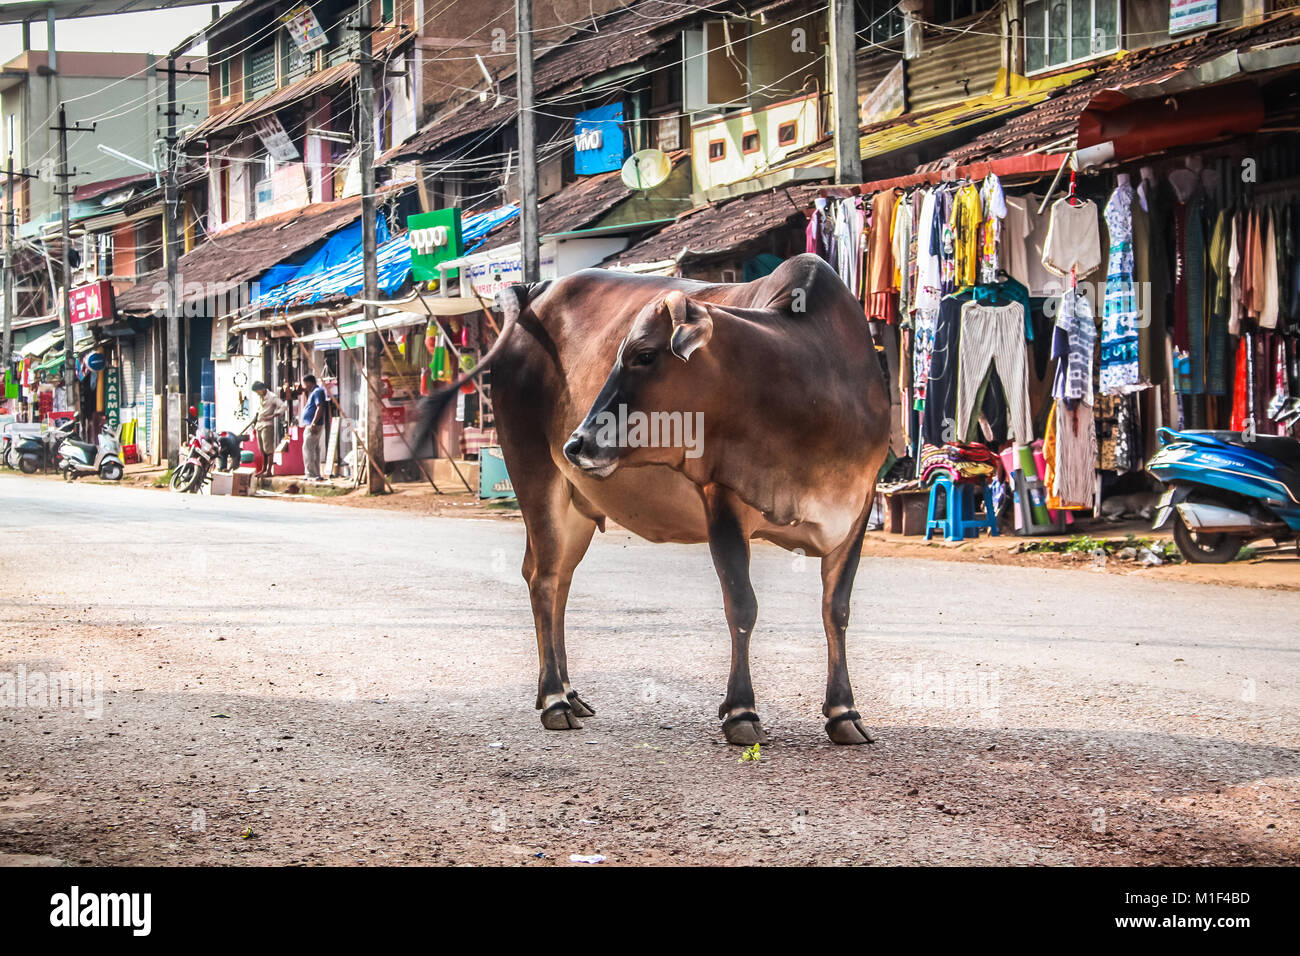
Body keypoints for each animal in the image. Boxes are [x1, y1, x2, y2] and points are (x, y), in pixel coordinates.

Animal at [417, 253, 891, 745]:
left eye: (644, 355)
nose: (577, 443)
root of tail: (537, 290)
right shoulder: (720, 500)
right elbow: (742, 605)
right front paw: (741, 711)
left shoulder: (857, 508)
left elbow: (836, 609)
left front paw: (844, 713)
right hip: (535, 473)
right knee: (543, 579)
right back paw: (553, 701)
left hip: (575, 505)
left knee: (559, 578)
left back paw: (569, 692)